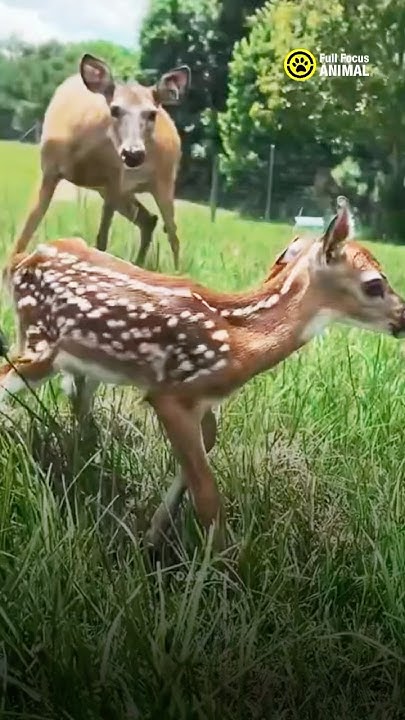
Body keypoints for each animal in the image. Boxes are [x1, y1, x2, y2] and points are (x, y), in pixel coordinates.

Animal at [1, 197, 405, 552]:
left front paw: (151, 536)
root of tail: (23, 260)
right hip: (39, 345)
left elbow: (206, 446)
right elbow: (208, 496)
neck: (240, 340)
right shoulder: (170, 394)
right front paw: (222, 569)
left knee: (77, 404)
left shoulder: (204, 400)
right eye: (374, 284)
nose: (403, 319)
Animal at [12, 53, 191, 270]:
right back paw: (138, 263)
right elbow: (25, 230)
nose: (133, 153)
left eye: (151, 114)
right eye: (114, 109)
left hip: (164, 180)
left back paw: (175, 271)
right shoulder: (49, 169)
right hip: (120, 191)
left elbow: (102, 240)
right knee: (148, 219)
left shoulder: (114, 179)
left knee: (172, 233)